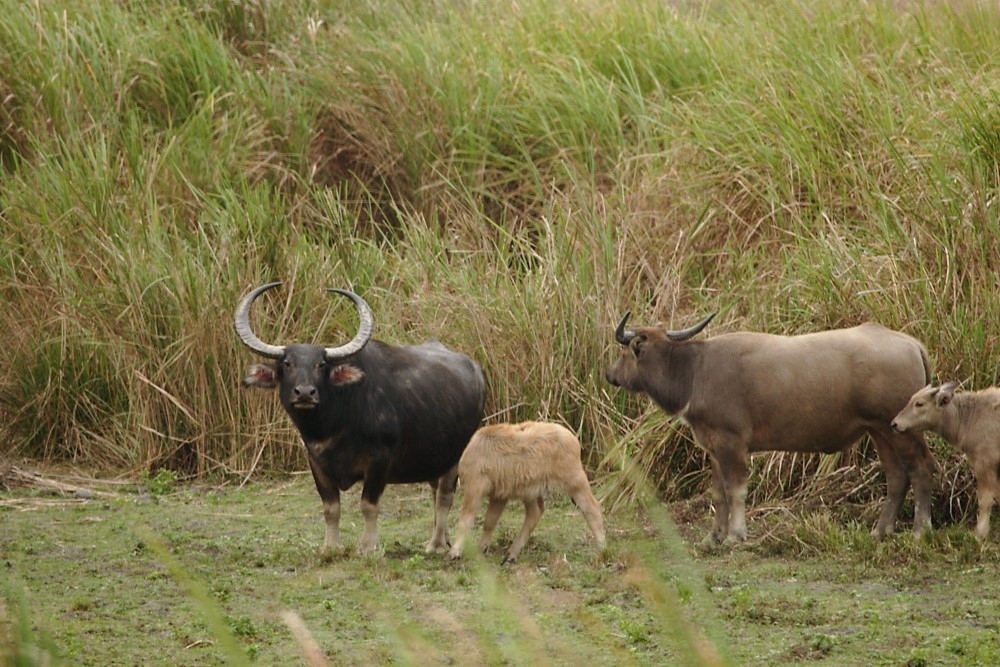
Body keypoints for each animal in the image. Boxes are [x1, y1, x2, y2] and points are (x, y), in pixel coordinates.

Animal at [236, 282, 486, 555]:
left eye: (321, 365)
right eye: (287, 364)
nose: (305, 393)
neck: (334, 425)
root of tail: (476, 372)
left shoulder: (379, 461)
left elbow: (368, 505)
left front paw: (367, 546)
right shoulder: (316, 463)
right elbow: (331, 508)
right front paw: (331, 547)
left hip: (456, 455)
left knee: (444, 496)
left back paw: (436, 544)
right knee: (435, 491)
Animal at [606, 312, 935, 545]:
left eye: (624, 353)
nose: (610, 375)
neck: (694, 371)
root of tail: (911, 344)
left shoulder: (731, 444)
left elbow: (736, 489)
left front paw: (735, 535)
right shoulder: (713, 447)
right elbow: (718, 493)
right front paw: (712, 537)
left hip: (902, 430)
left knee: (920, 468)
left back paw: (920, 529)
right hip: (880, 431)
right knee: (896, 475)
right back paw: (881, 530)